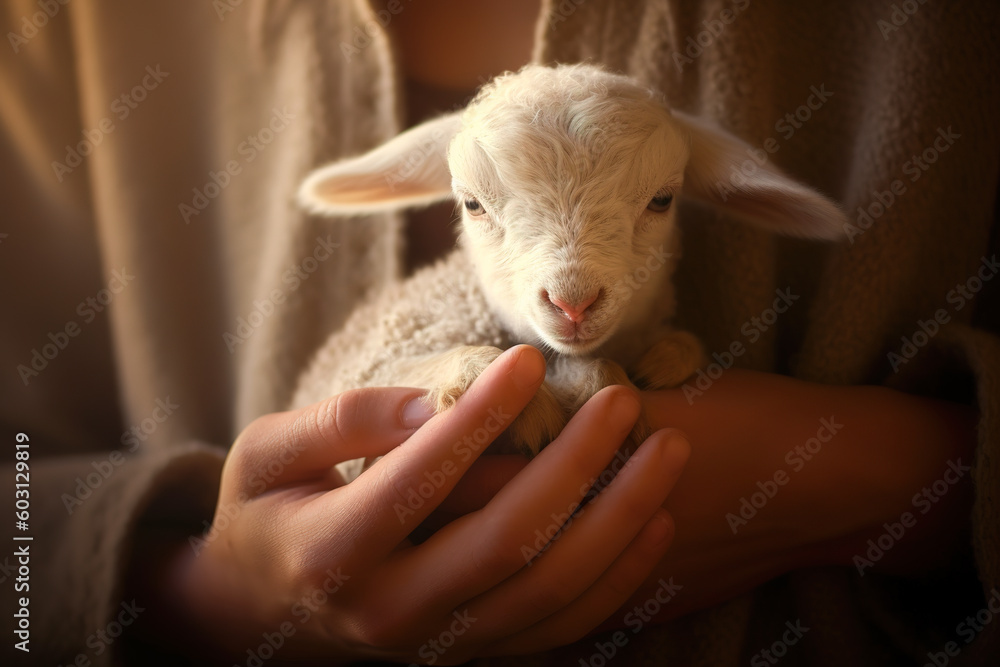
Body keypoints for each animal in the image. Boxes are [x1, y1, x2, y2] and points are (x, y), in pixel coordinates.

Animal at [291, 64, 845, 481]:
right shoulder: (372, 363)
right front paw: (530, 402)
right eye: (472, 204)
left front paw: (664, 359)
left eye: (662, 199)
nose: (572, 302)